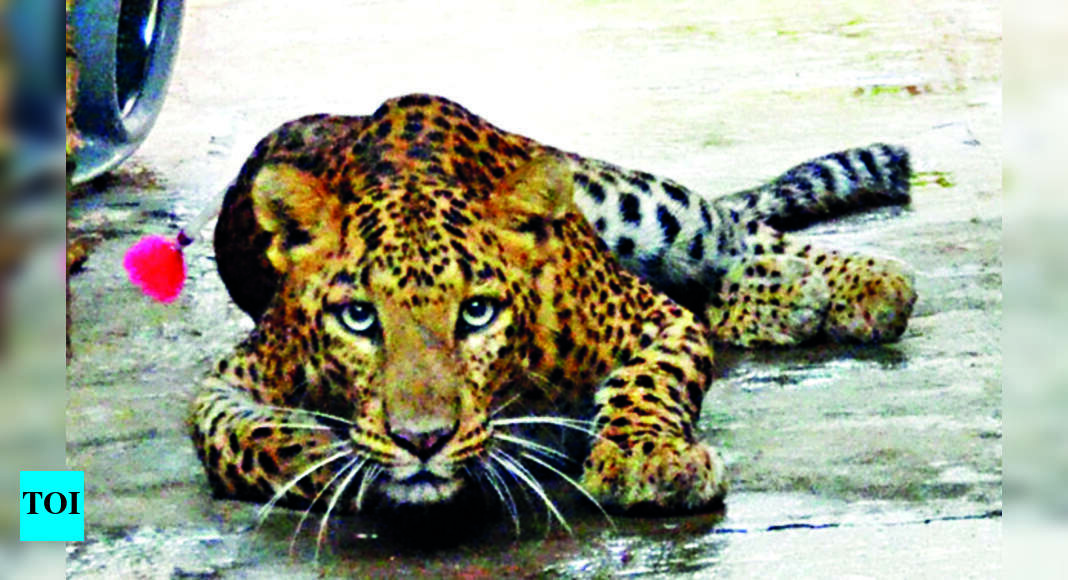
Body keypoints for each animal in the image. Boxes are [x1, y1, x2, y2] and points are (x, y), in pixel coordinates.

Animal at [191, 94, 916, 539]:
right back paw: (780, 298)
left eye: (477, 312)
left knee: (732, 226)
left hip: (628, 204)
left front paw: (647, 459)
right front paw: (333, 457)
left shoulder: (654, 318)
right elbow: (239, 437)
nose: (422, 442)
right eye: (360, 318)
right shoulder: (234, 378)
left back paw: (857, 284)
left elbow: (647, 382)